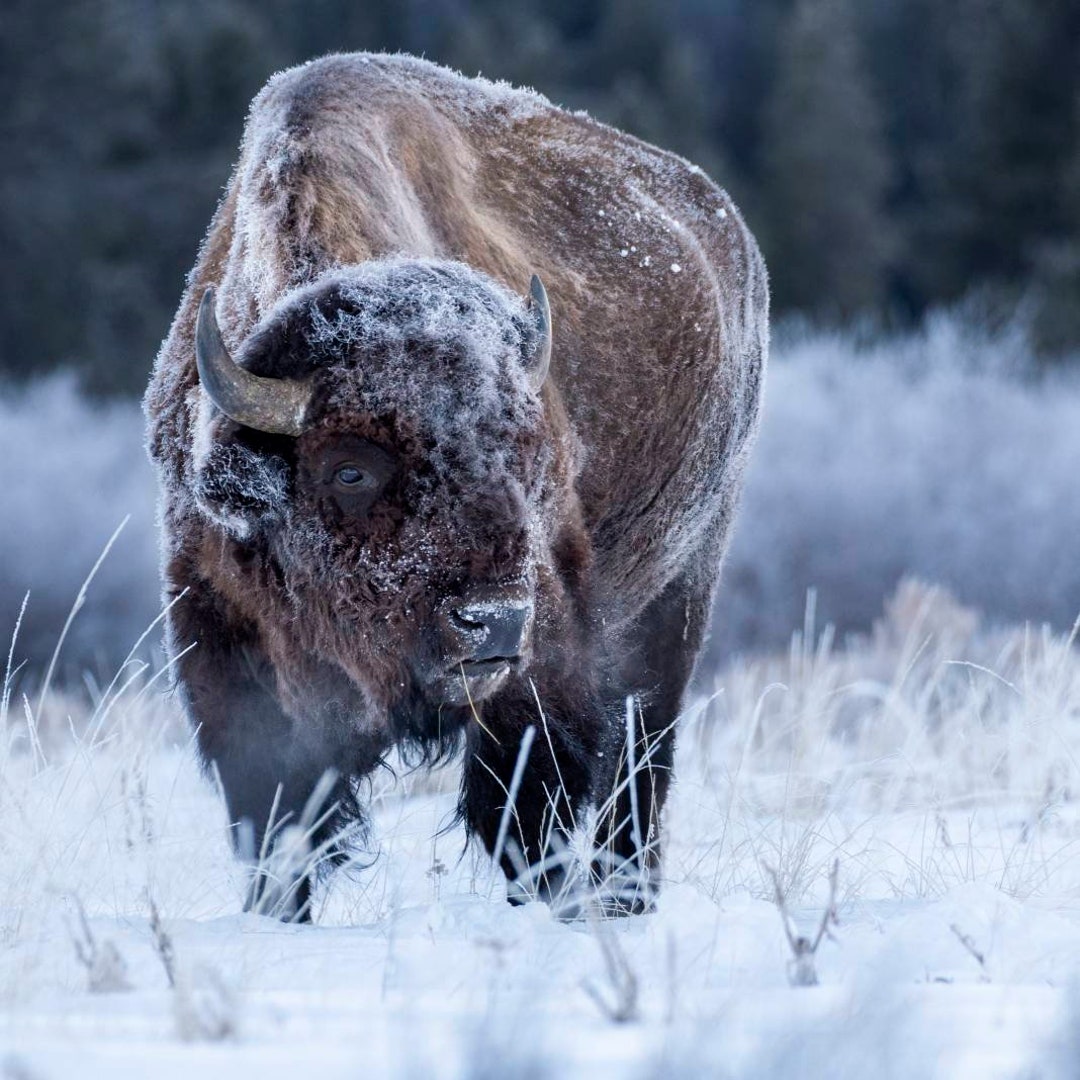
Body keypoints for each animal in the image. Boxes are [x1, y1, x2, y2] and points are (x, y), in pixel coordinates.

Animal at [144, 53, 767, 920]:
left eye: (527, 459)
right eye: (350, 469)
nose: (492, 621)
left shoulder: (540, 671)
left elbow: (527, 813)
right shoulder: (225, 648)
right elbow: (277, 827)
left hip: (678, 591)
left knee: (641, 763)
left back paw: (627, 900)